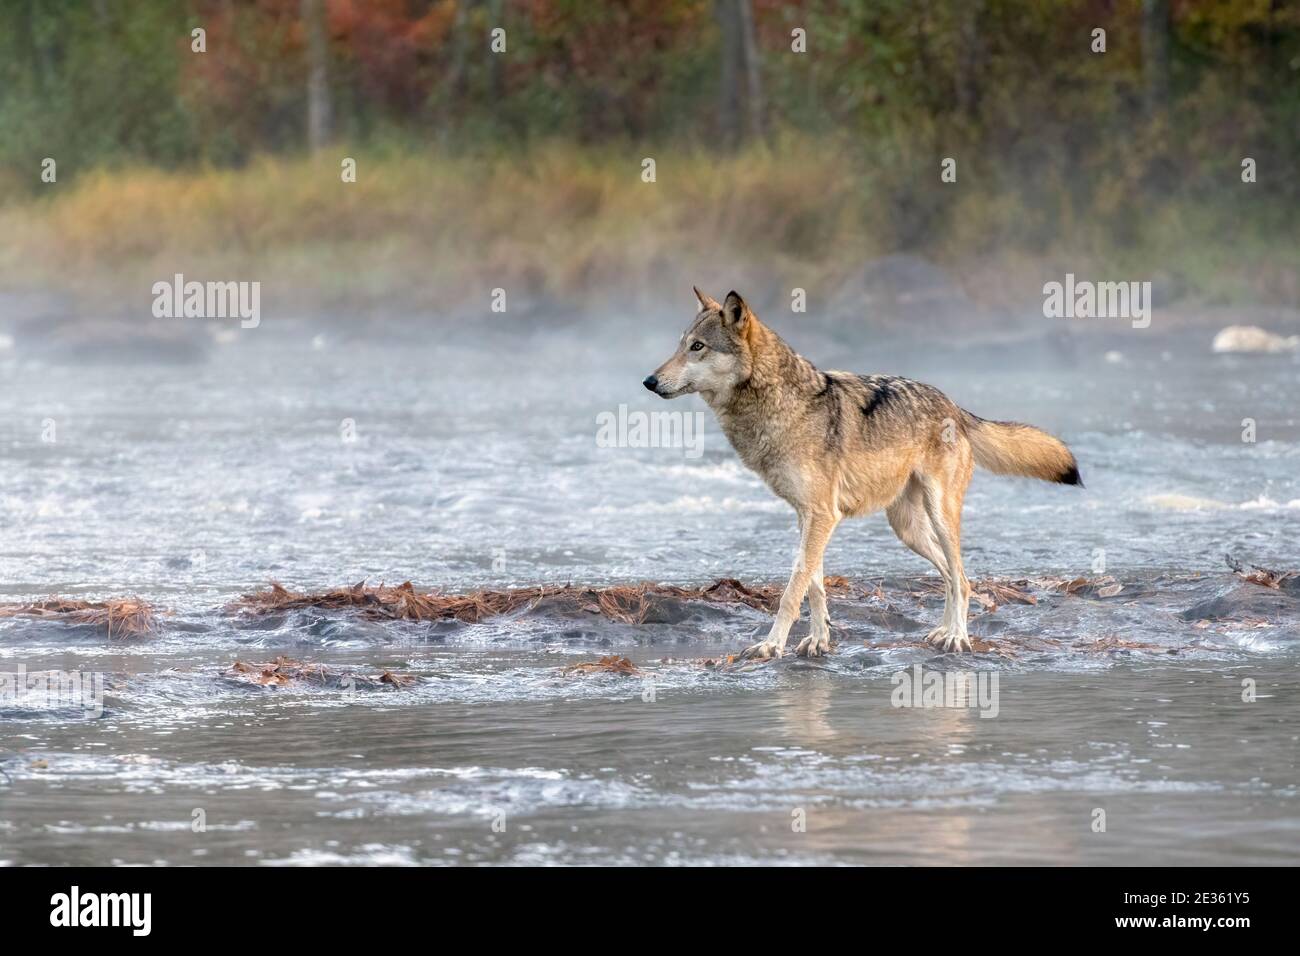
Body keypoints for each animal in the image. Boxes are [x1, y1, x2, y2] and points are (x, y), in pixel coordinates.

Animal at [643, 287, 1081, 657]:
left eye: (697, 347)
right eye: (680, 345)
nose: (649, 380)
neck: (781, 406)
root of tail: (953, 406)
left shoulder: (822, 516)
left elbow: (791, 590)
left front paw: (771, 646)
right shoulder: (807, 516)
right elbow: (814, 586)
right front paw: (818, 641)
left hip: (939, 516)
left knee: (963, 577)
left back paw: (958, 637)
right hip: (907, 529)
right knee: (949, 576)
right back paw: (942, 631)